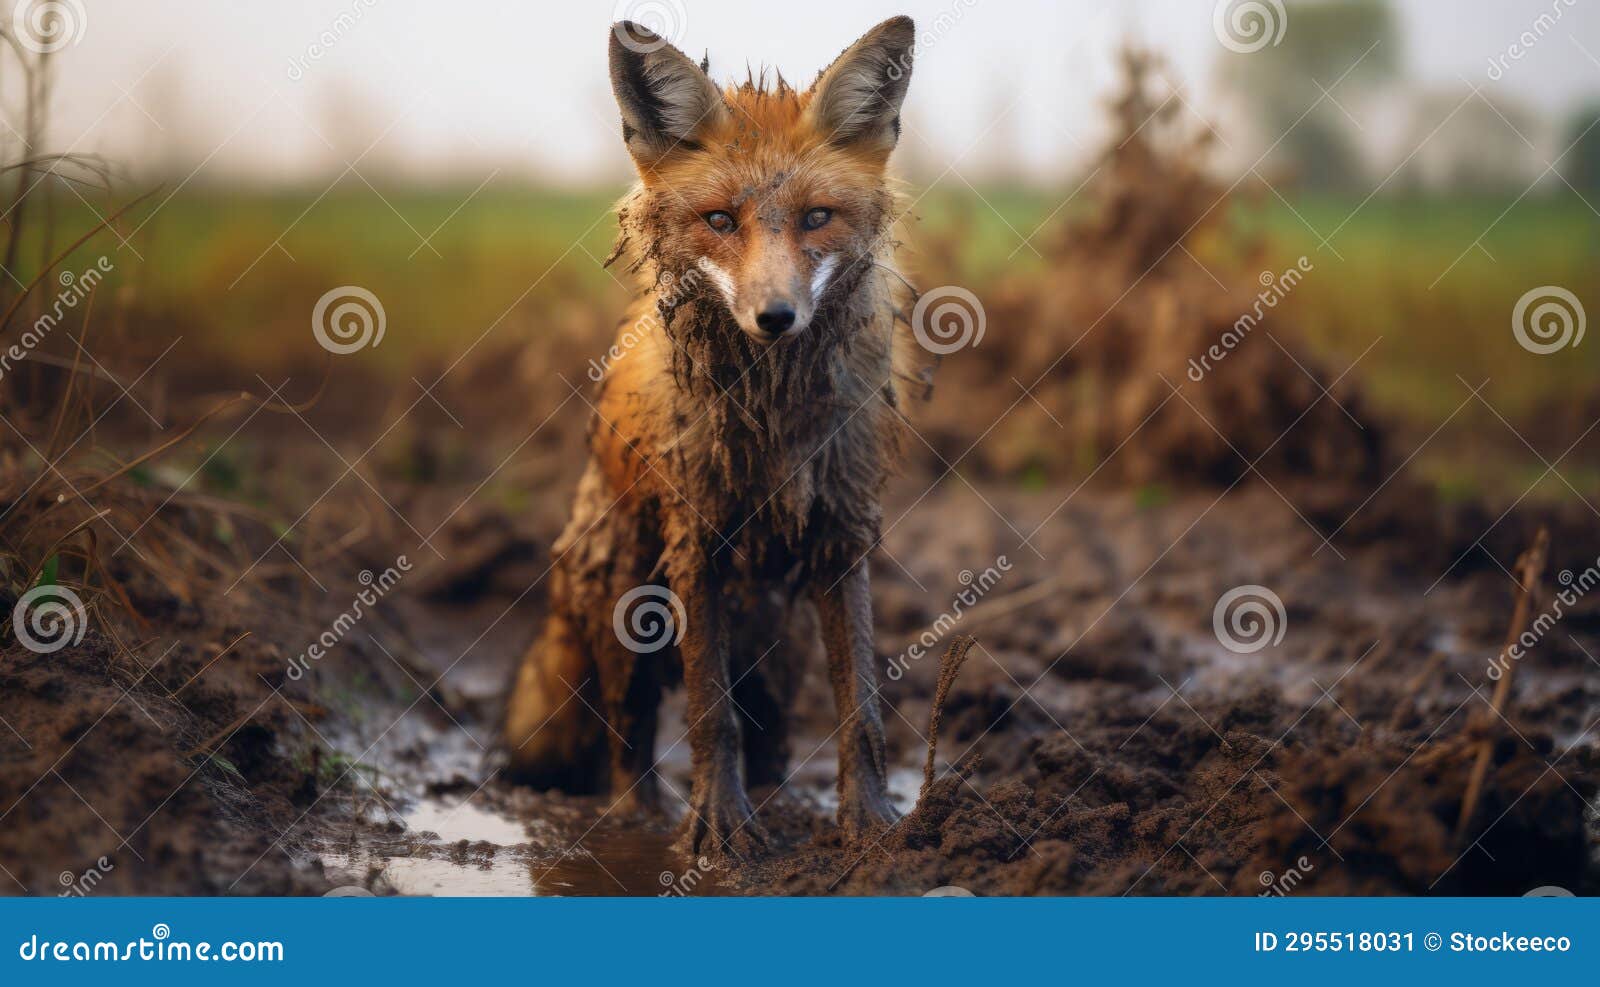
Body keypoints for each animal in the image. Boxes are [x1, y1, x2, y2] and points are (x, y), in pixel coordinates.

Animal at [501, 16, 928, 860]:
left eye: (817, 217)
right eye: (721, 221)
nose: (776, 316)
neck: (773, 419)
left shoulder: (841, 532)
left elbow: (860, 710)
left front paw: (869, 823)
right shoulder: (695, 538)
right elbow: (708, 709)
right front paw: (717, 829)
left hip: (780, 640)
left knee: (771, 733)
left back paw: (777, 798)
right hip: (629, 605)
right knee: (628, 738)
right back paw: (638, 817)